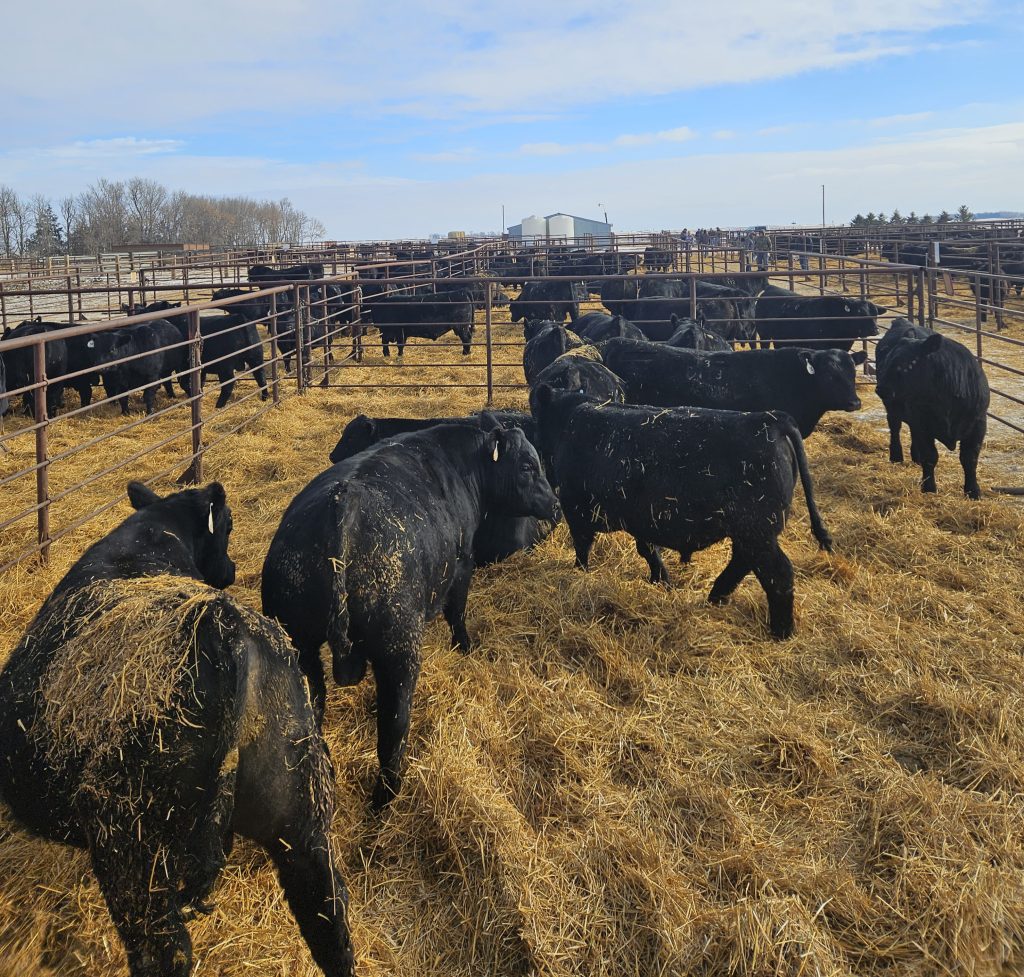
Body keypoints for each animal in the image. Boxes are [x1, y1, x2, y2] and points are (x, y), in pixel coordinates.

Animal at [0, 481, 356, 977]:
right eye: (228, 525)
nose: (231, 569)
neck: (153, 531)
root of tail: (227, 634)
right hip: (304, 826)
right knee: (332, 926)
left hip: (132, 849)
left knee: (164, 952)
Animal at [262, 421, 560, 807]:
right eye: (526, 466)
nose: (555, 504)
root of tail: (342, 504)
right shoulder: (461, 565)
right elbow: (457, 613)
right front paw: (464, 646)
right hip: (398, 650)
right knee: (394, 724)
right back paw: (386, 796)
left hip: (299, 646)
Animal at [529, 387, 832, 638]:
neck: (572, 421)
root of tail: (771, 418)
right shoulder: (641, 517)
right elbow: (647, 549)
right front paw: (660, 579)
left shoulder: (575, 507)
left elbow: (582, 546)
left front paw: (579, 572)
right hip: (751, 532)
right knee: (743, 562)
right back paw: (716, 597)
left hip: (757, 529)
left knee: (778, 573)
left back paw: (781, 631)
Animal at [875, 319, 989, 498]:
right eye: (888, 359)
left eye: (909, 363)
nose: (881, 389)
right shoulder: (922, 423)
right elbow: (930, 456)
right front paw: (929, 487)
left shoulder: (978, 423)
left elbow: (969, 458)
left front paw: (973, 490)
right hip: (893, 408)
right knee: (895, 427)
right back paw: (896, 455)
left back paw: (915, 456)